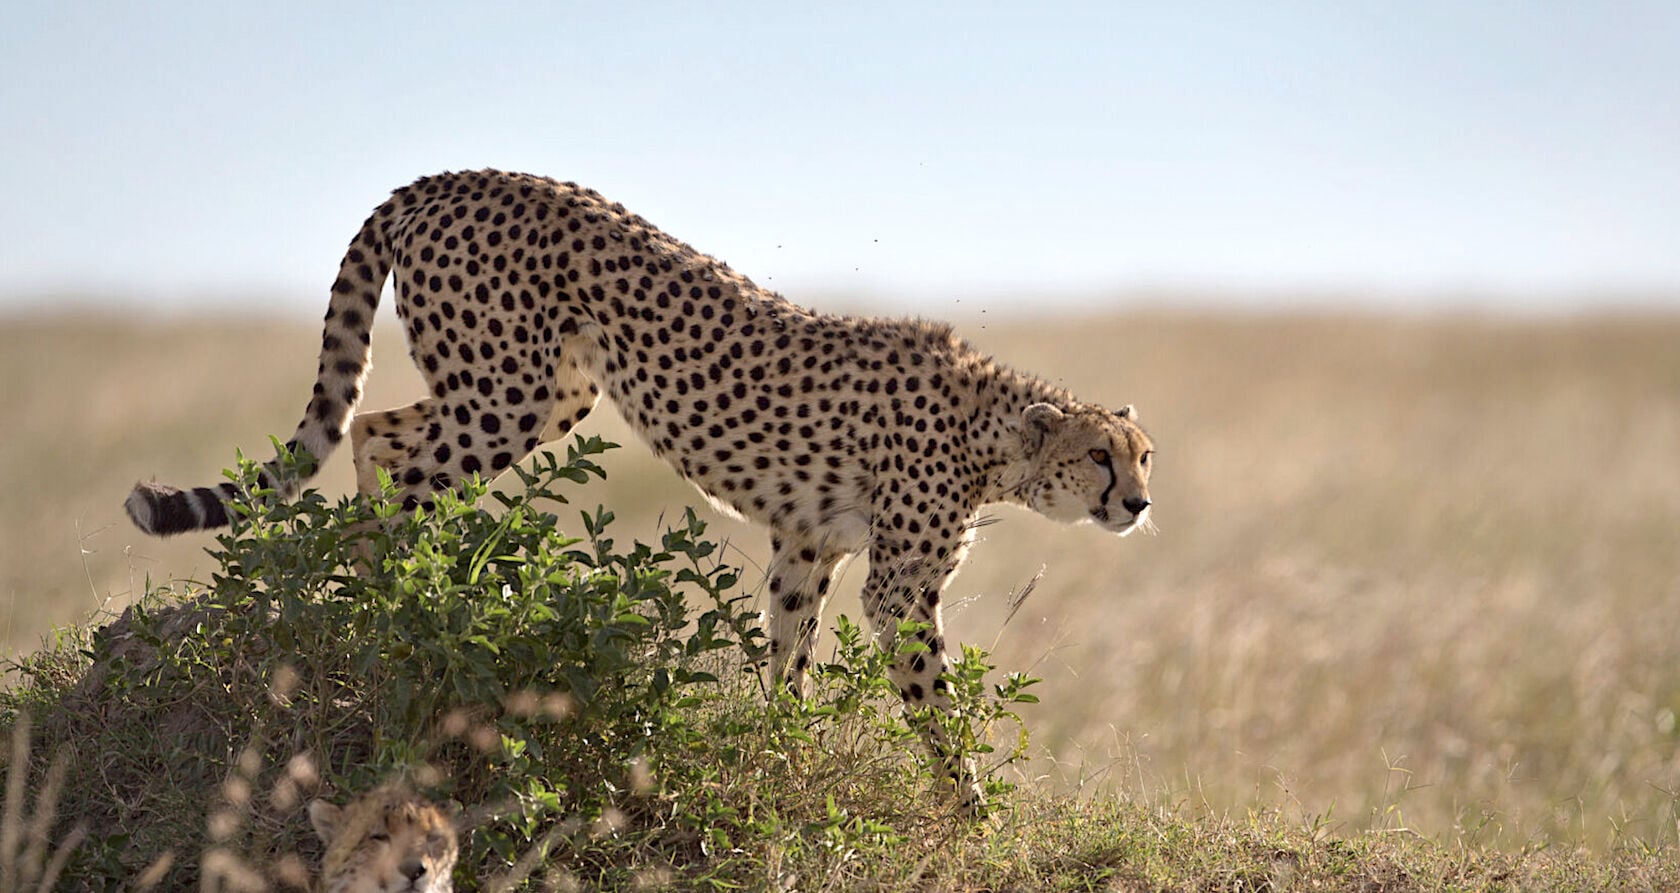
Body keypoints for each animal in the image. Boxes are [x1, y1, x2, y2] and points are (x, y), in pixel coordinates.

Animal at [126, 169, 1155, 810]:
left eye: (1146, 455)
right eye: (1103, 457)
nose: (1140, 505)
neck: (996, 433)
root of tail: (455, 175)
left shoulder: (806, 547)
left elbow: (787, 662)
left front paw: (777, 760)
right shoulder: (898, 588)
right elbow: (937, 708)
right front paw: (968, 809)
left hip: (549, 392)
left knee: (379, 432)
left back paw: (409, 584)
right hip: (506, 393)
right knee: (393, 460)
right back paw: (395, 597)